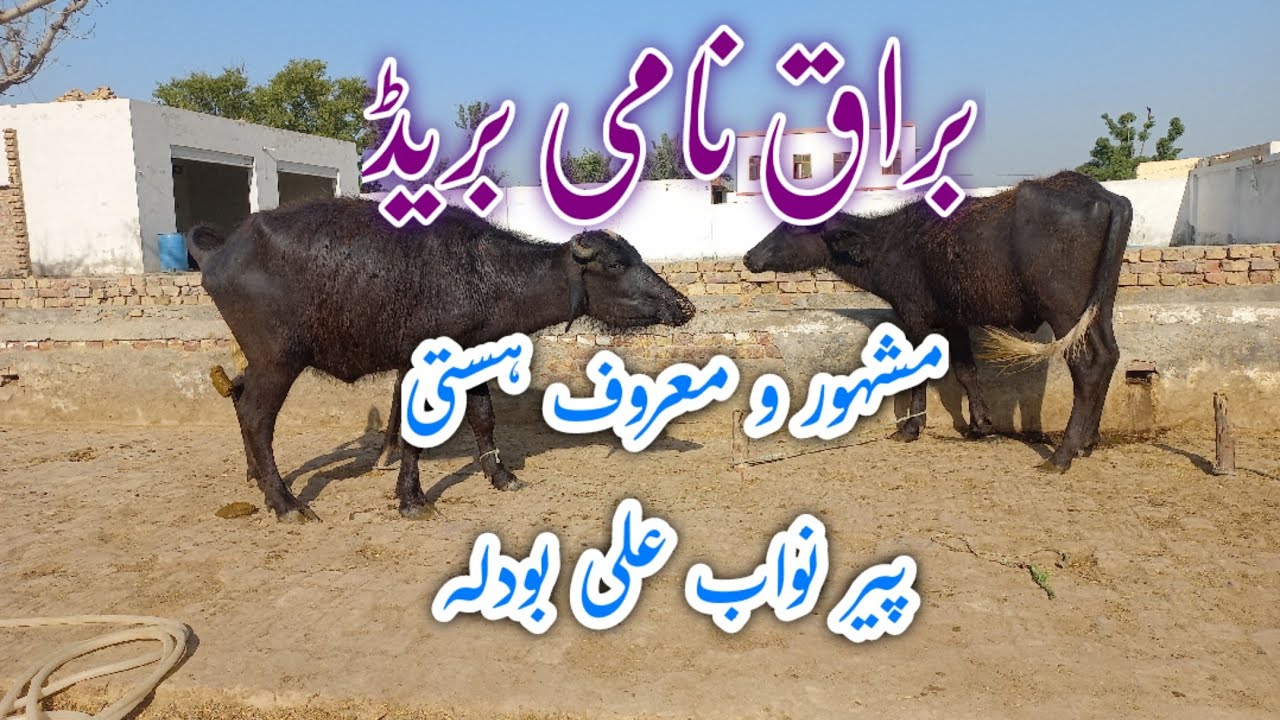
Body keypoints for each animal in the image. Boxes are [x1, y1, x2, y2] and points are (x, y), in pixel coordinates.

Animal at [188, 197, 696, 522]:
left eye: (636, 256)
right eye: (615, 264)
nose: (684, 306)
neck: (484, 273)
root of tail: (221, 252)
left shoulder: (472, 354)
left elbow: (484, 418)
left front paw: (501, 475)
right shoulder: (419, 362)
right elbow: (413, 433)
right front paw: (411, 499)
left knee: (237, 396)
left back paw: (256, 478)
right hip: (278, 359)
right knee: (256, 416)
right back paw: (286, 502)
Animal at [742, 170, 1132, 472]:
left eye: (793, 227)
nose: (749, 257)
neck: (889, 244)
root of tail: (1104, 197)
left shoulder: (915, 317)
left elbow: (918, 374)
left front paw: (911, 428)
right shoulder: (955, 320)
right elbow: (965, 370)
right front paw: (980, 425)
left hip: (1064, 310)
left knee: (1086, 365)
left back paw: (1062, 455)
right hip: (1101, 306)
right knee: (1108, 355)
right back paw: (1088, 441)